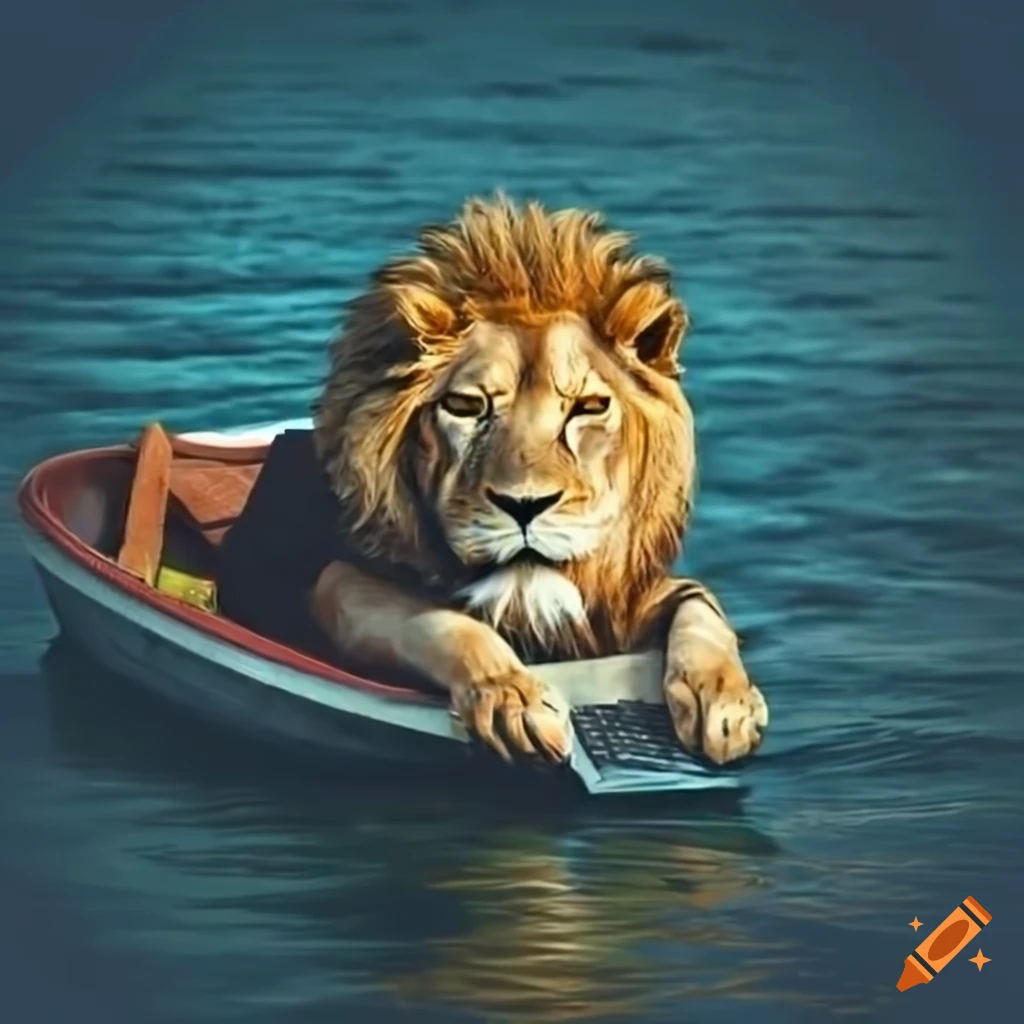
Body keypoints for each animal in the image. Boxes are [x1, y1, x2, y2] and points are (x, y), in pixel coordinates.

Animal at [309, 193, 768, 766]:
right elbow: (438, 620)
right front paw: (514, 701)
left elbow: (701, 606)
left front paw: (725, 703)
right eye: (467, 406)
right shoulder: (336, 580)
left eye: (588, 407)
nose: (524, 505)